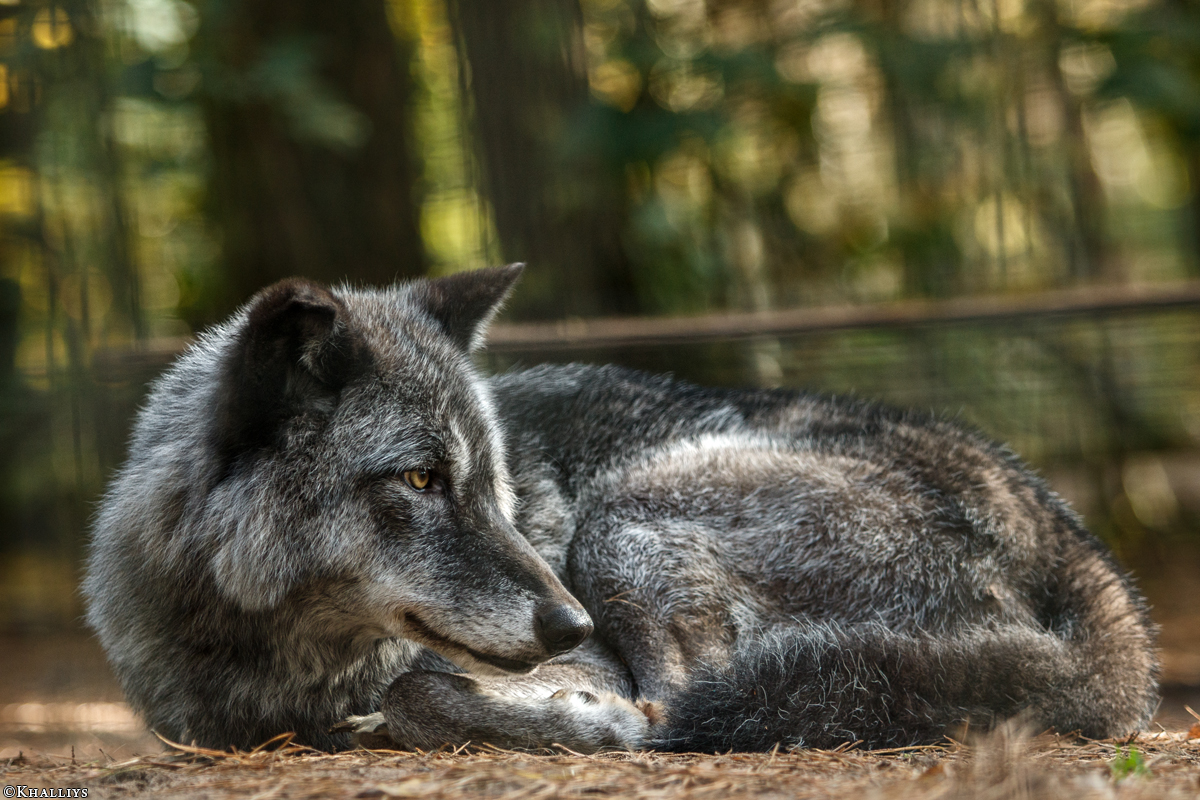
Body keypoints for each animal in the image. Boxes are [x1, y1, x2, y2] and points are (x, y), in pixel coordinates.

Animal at [84, 264, 1158, 754]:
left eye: (495, 485)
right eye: (423, 480)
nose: (570, 625)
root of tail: (1084, 557)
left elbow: (420, 689)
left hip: (628, 513)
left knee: (687, 700)